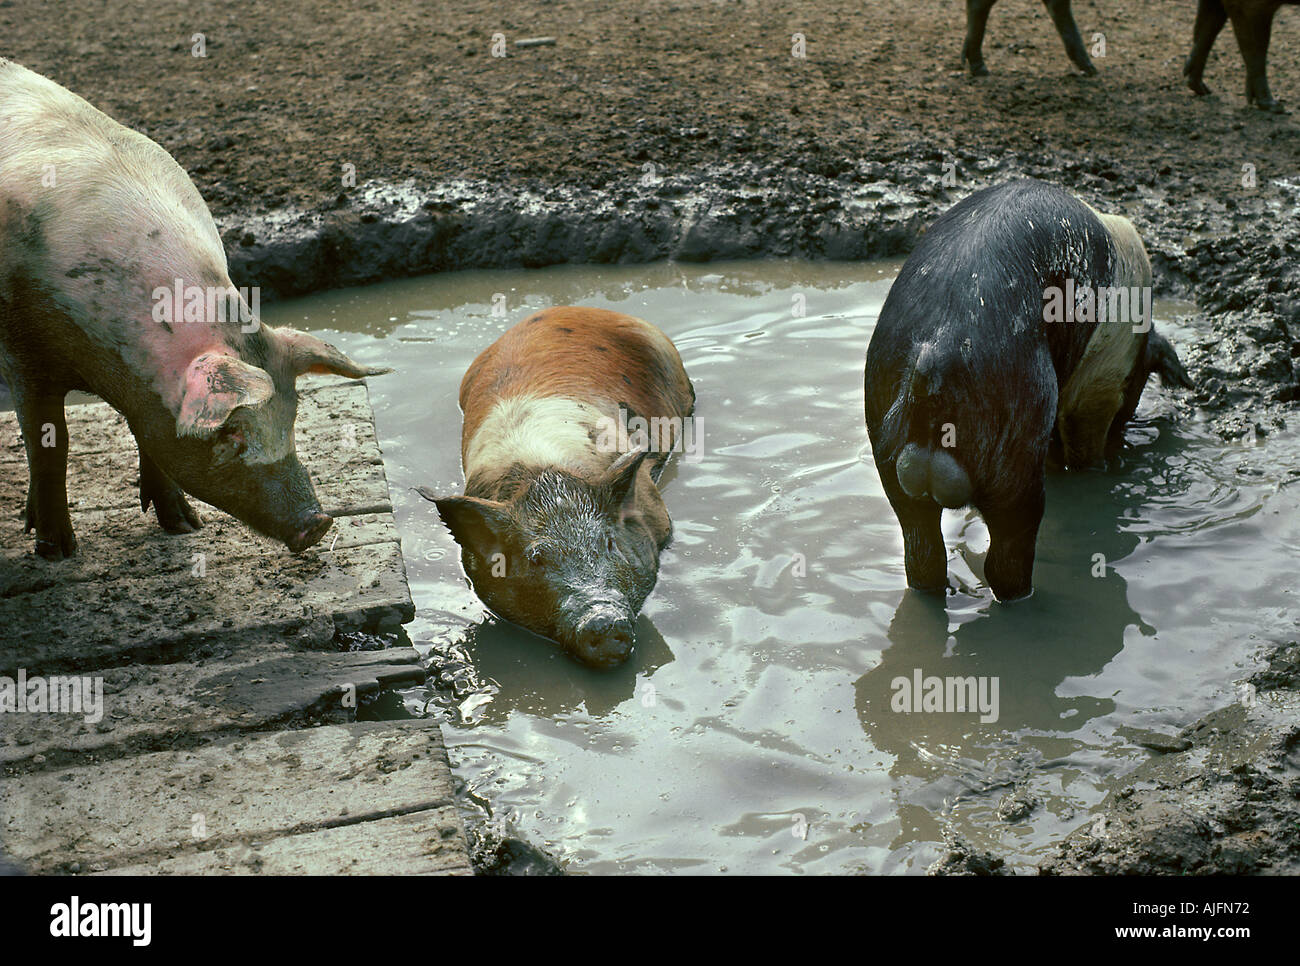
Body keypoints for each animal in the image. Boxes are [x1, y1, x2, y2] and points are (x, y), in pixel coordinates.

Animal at [0, 58, 388, 559]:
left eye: (293, 416)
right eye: (229, 433)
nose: (317, 524)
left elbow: (150, 439)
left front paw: (185, 527)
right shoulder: (22, 353)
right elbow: (50, 446)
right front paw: (56, 553)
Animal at [864, 179, 1192, 602]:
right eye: (1133, 385)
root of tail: (935, 352)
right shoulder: (1098, 382)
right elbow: (1086, 448)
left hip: (887, 446)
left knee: (921, 553)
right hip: (1015, 451)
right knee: (1006, 558)